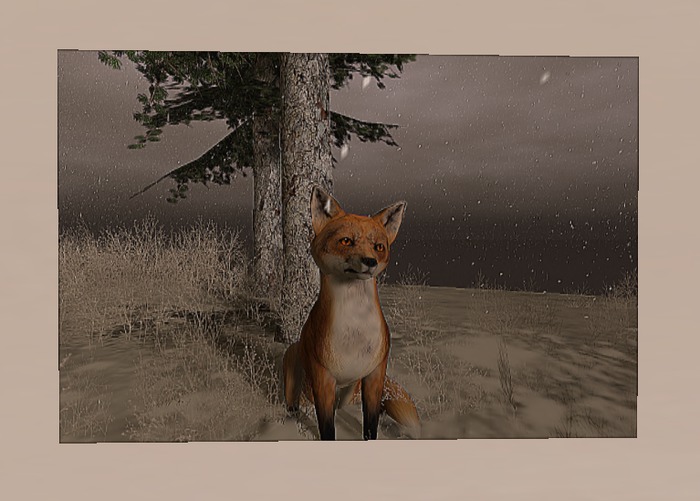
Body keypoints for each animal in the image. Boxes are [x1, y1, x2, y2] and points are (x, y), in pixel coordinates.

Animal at [282, 185, 420, 440]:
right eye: (346, 241)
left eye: (378, 246)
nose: (370, 261)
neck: (355, 331)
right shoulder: (323, 377)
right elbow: (327, 429)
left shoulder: (375, 374)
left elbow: (371, 425)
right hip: (293, 359)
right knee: (293, 400)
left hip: (351, 390)